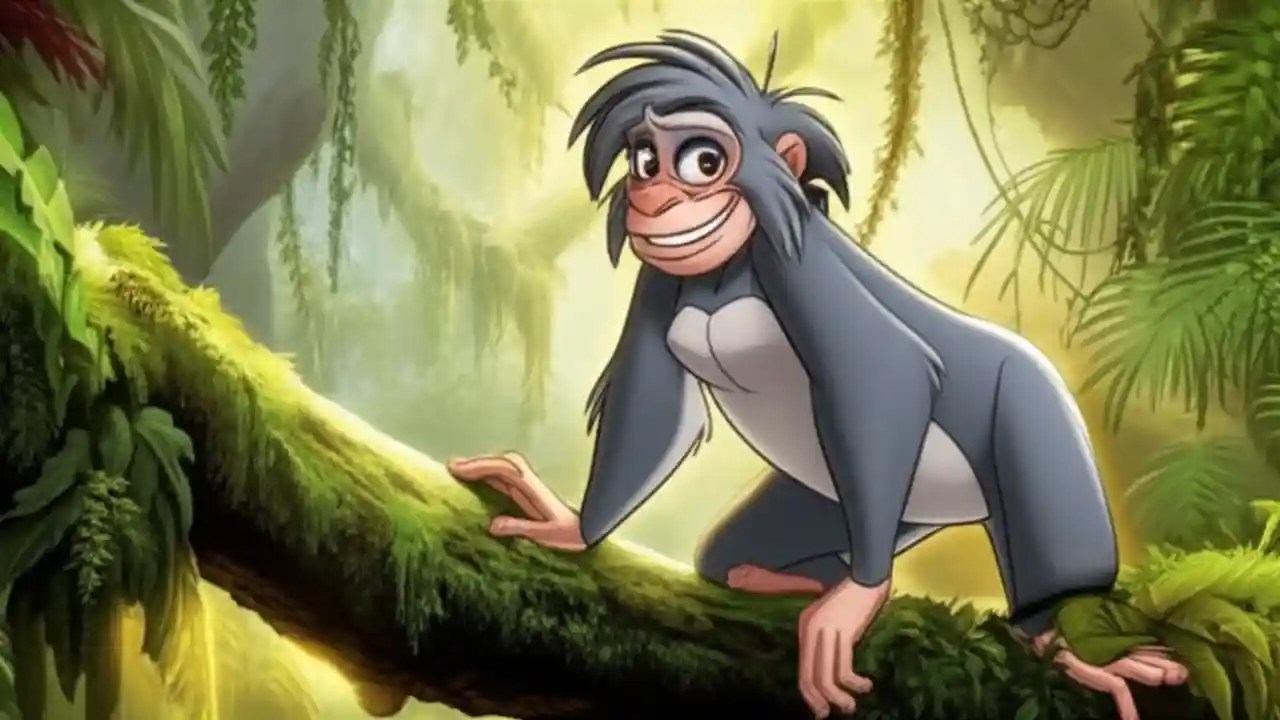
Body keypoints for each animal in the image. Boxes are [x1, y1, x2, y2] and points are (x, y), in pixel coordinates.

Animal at [448, 30, 1189, 720]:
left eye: (702, 161)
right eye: (644, 161)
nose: (650, 196)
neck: (727, 269)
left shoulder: (801, 266)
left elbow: (888, 372)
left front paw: (859, 599)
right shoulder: (661, 281)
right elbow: (653, 408)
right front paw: (571, 526)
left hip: (1033, 416)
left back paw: (1065, 647)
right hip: (866, 506)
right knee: (730, 550)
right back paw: (780, 579)